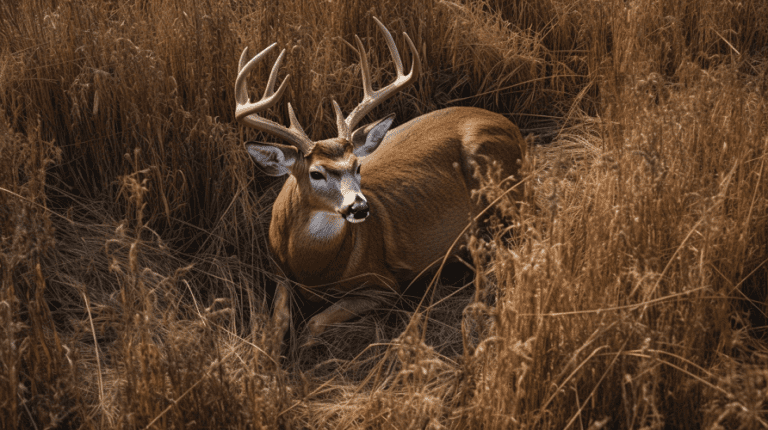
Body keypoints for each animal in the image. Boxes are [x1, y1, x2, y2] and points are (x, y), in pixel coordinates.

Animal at [236, 18, 526, 348]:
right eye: (316, 173)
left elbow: (314, 324)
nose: (359, 207)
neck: (312, 269)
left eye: (358, 165)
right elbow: (277, 323)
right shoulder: (277, 273)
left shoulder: (383, 284)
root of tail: (509, 124)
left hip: (498, 177)